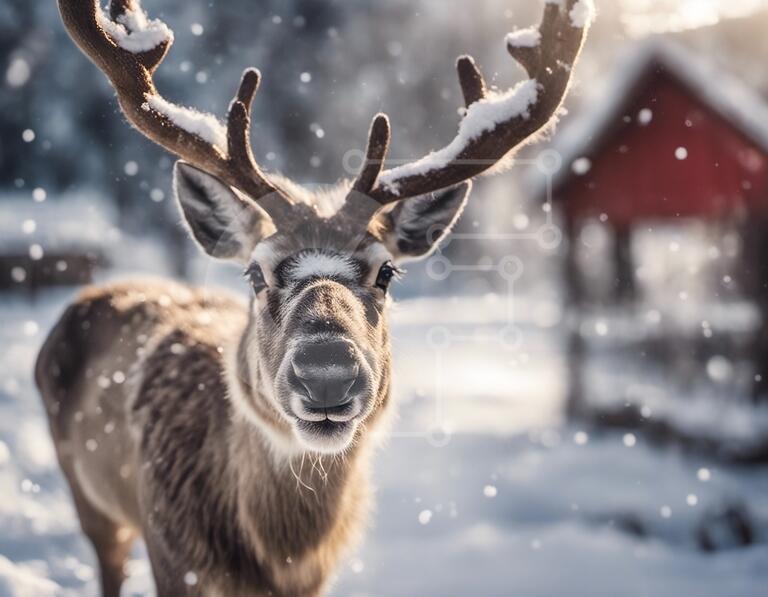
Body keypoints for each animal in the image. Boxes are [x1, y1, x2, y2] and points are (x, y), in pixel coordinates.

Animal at [36, 0, 592, 595]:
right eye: (255, 273)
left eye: (387, 271)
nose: (327, 375)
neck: (277, 558)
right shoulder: (170, 555)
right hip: (89, 497)